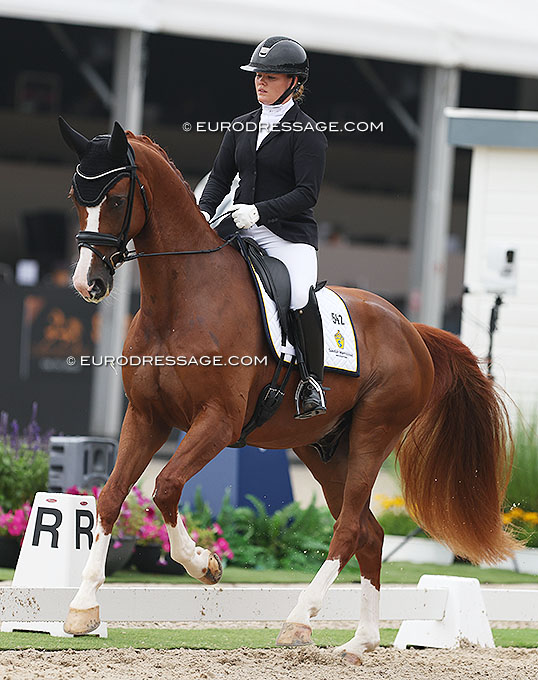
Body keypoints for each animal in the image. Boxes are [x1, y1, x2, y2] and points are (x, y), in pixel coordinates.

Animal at [59, 118, 517, 663]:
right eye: (76, 196)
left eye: (115, 197)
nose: (88, 282)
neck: (179, 302)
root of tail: (411, 328)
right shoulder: (147, 417)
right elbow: (109, 497)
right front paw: (83, 610)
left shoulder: (218, 422)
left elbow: (166, 485)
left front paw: (204, 564)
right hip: (321, 449)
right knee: (369, 532)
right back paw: (359, 642)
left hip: (373, 433)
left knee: (348, 529)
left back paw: (300, 619)